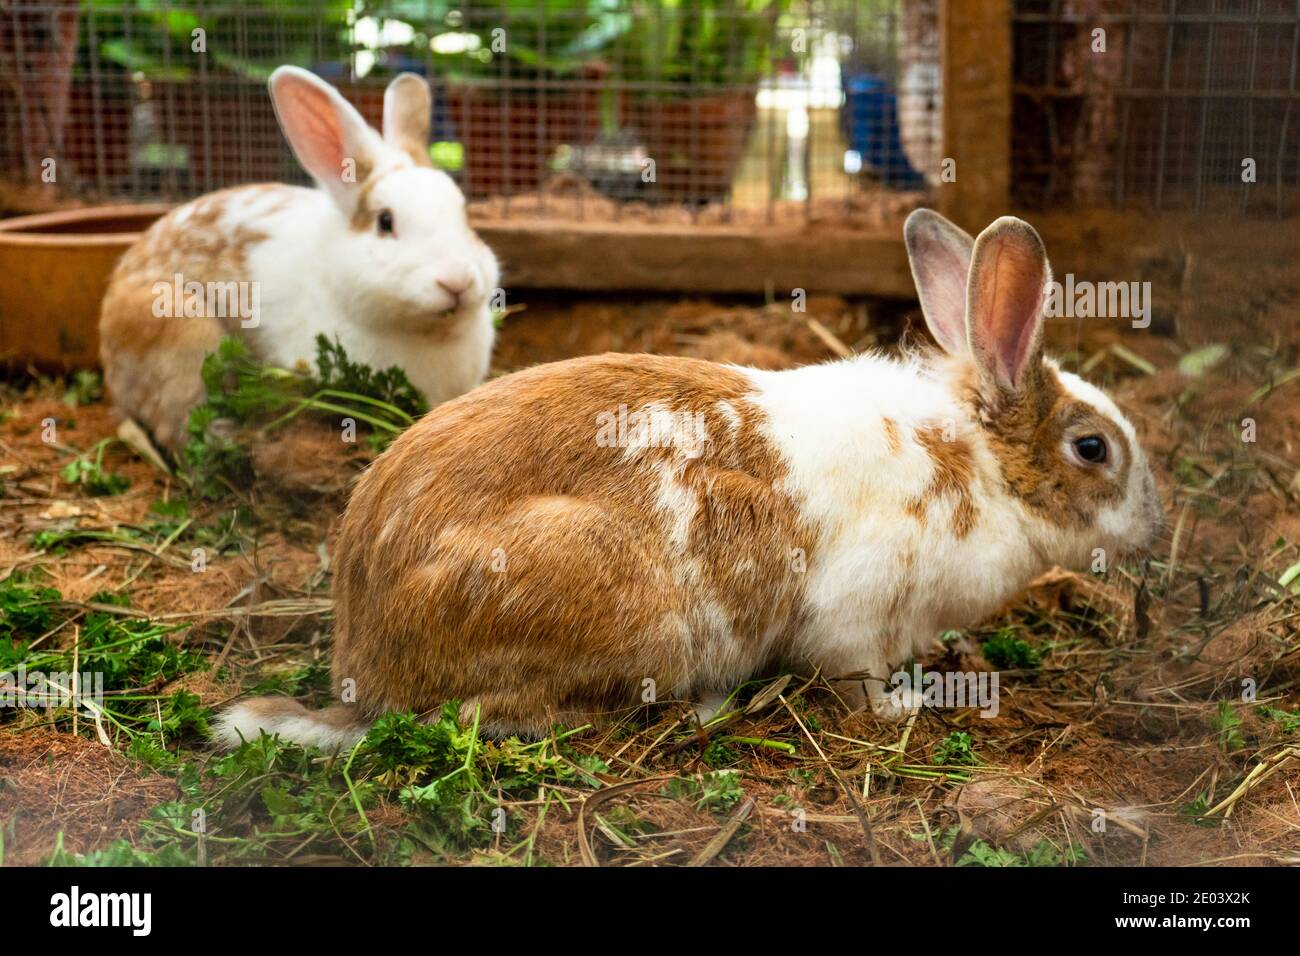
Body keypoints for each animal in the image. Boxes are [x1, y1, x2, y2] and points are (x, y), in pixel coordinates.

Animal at [214, 209, 1165, 750]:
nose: (1155, 532)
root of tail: (365, 672)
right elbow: (855, 676)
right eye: (1093, 449)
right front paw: (904, 707)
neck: (979, 467)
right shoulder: (854, 615)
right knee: (491, 716)